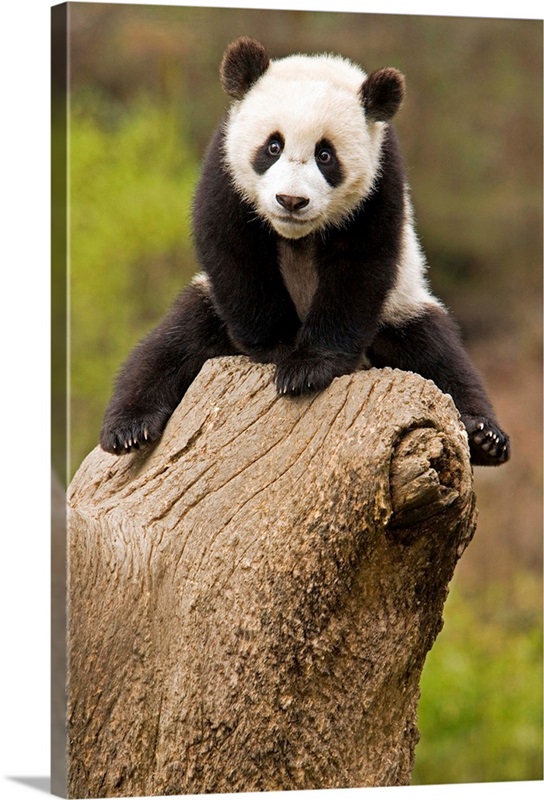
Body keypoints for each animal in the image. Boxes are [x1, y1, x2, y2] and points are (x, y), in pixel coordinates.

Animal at [100, 36, 510, 467]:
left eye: (325, 155)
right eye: (273, 146)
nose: (291, 201)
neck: (297, 235)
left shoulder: (380, 183)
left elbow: (359, 270)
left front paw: (307, 368)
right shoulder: (225, 168)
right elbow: (234, 253)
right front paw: (279, 348)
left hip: (400, 307)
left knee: (437, 355)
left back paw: (484, 436)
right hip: (208, 309)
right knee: (169, 347)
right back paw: (130, 428)